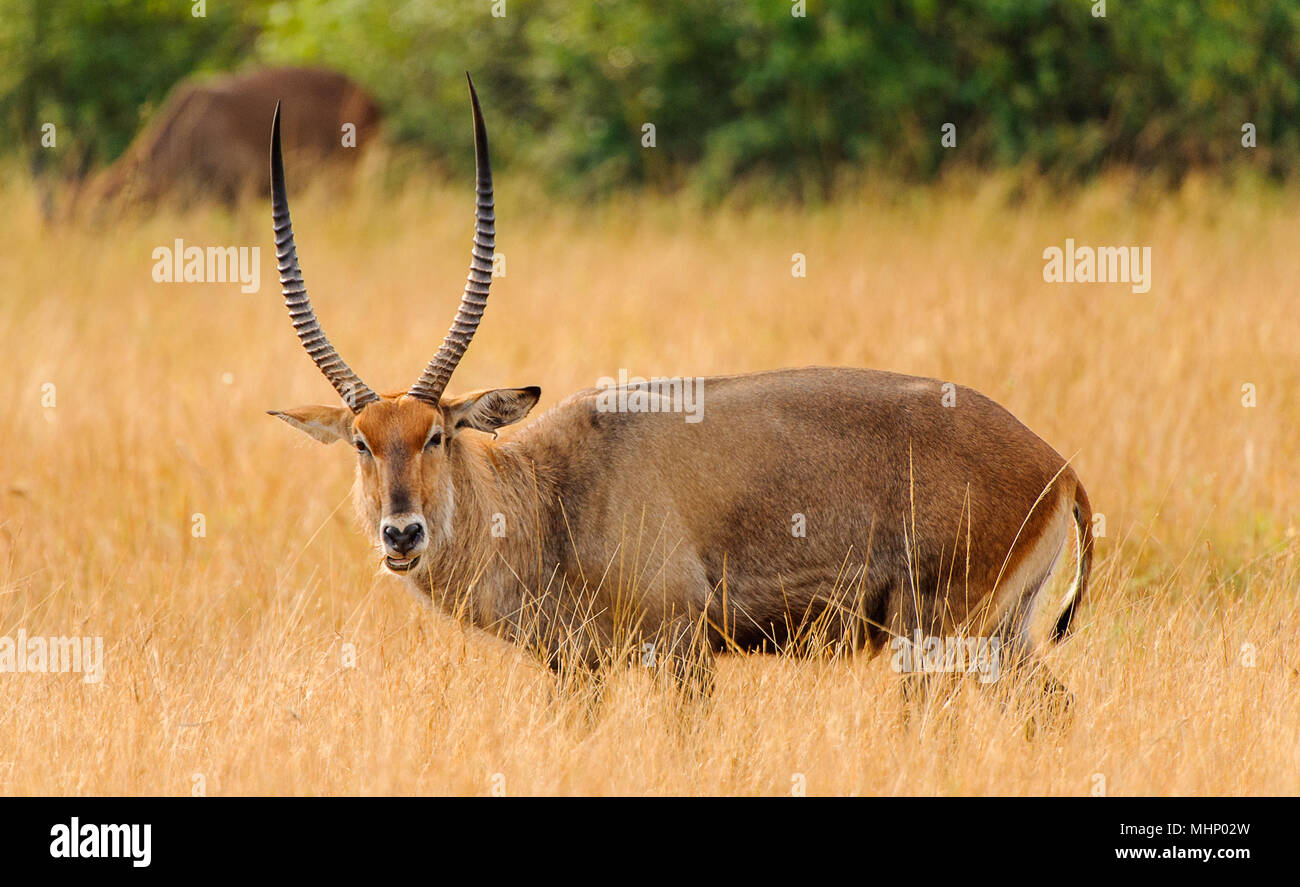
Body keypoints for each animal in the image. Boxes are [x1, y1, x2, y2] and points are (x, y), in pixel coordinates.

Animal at [268, 76, 1093, 701]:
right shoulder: (575, 667)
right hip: (1002, 640)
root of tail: (1058, 468)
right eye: (361, 442)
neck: (547, 490)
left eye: (436, 434)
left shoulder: (682, 648)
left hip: (943, 637)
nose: (401, 534)